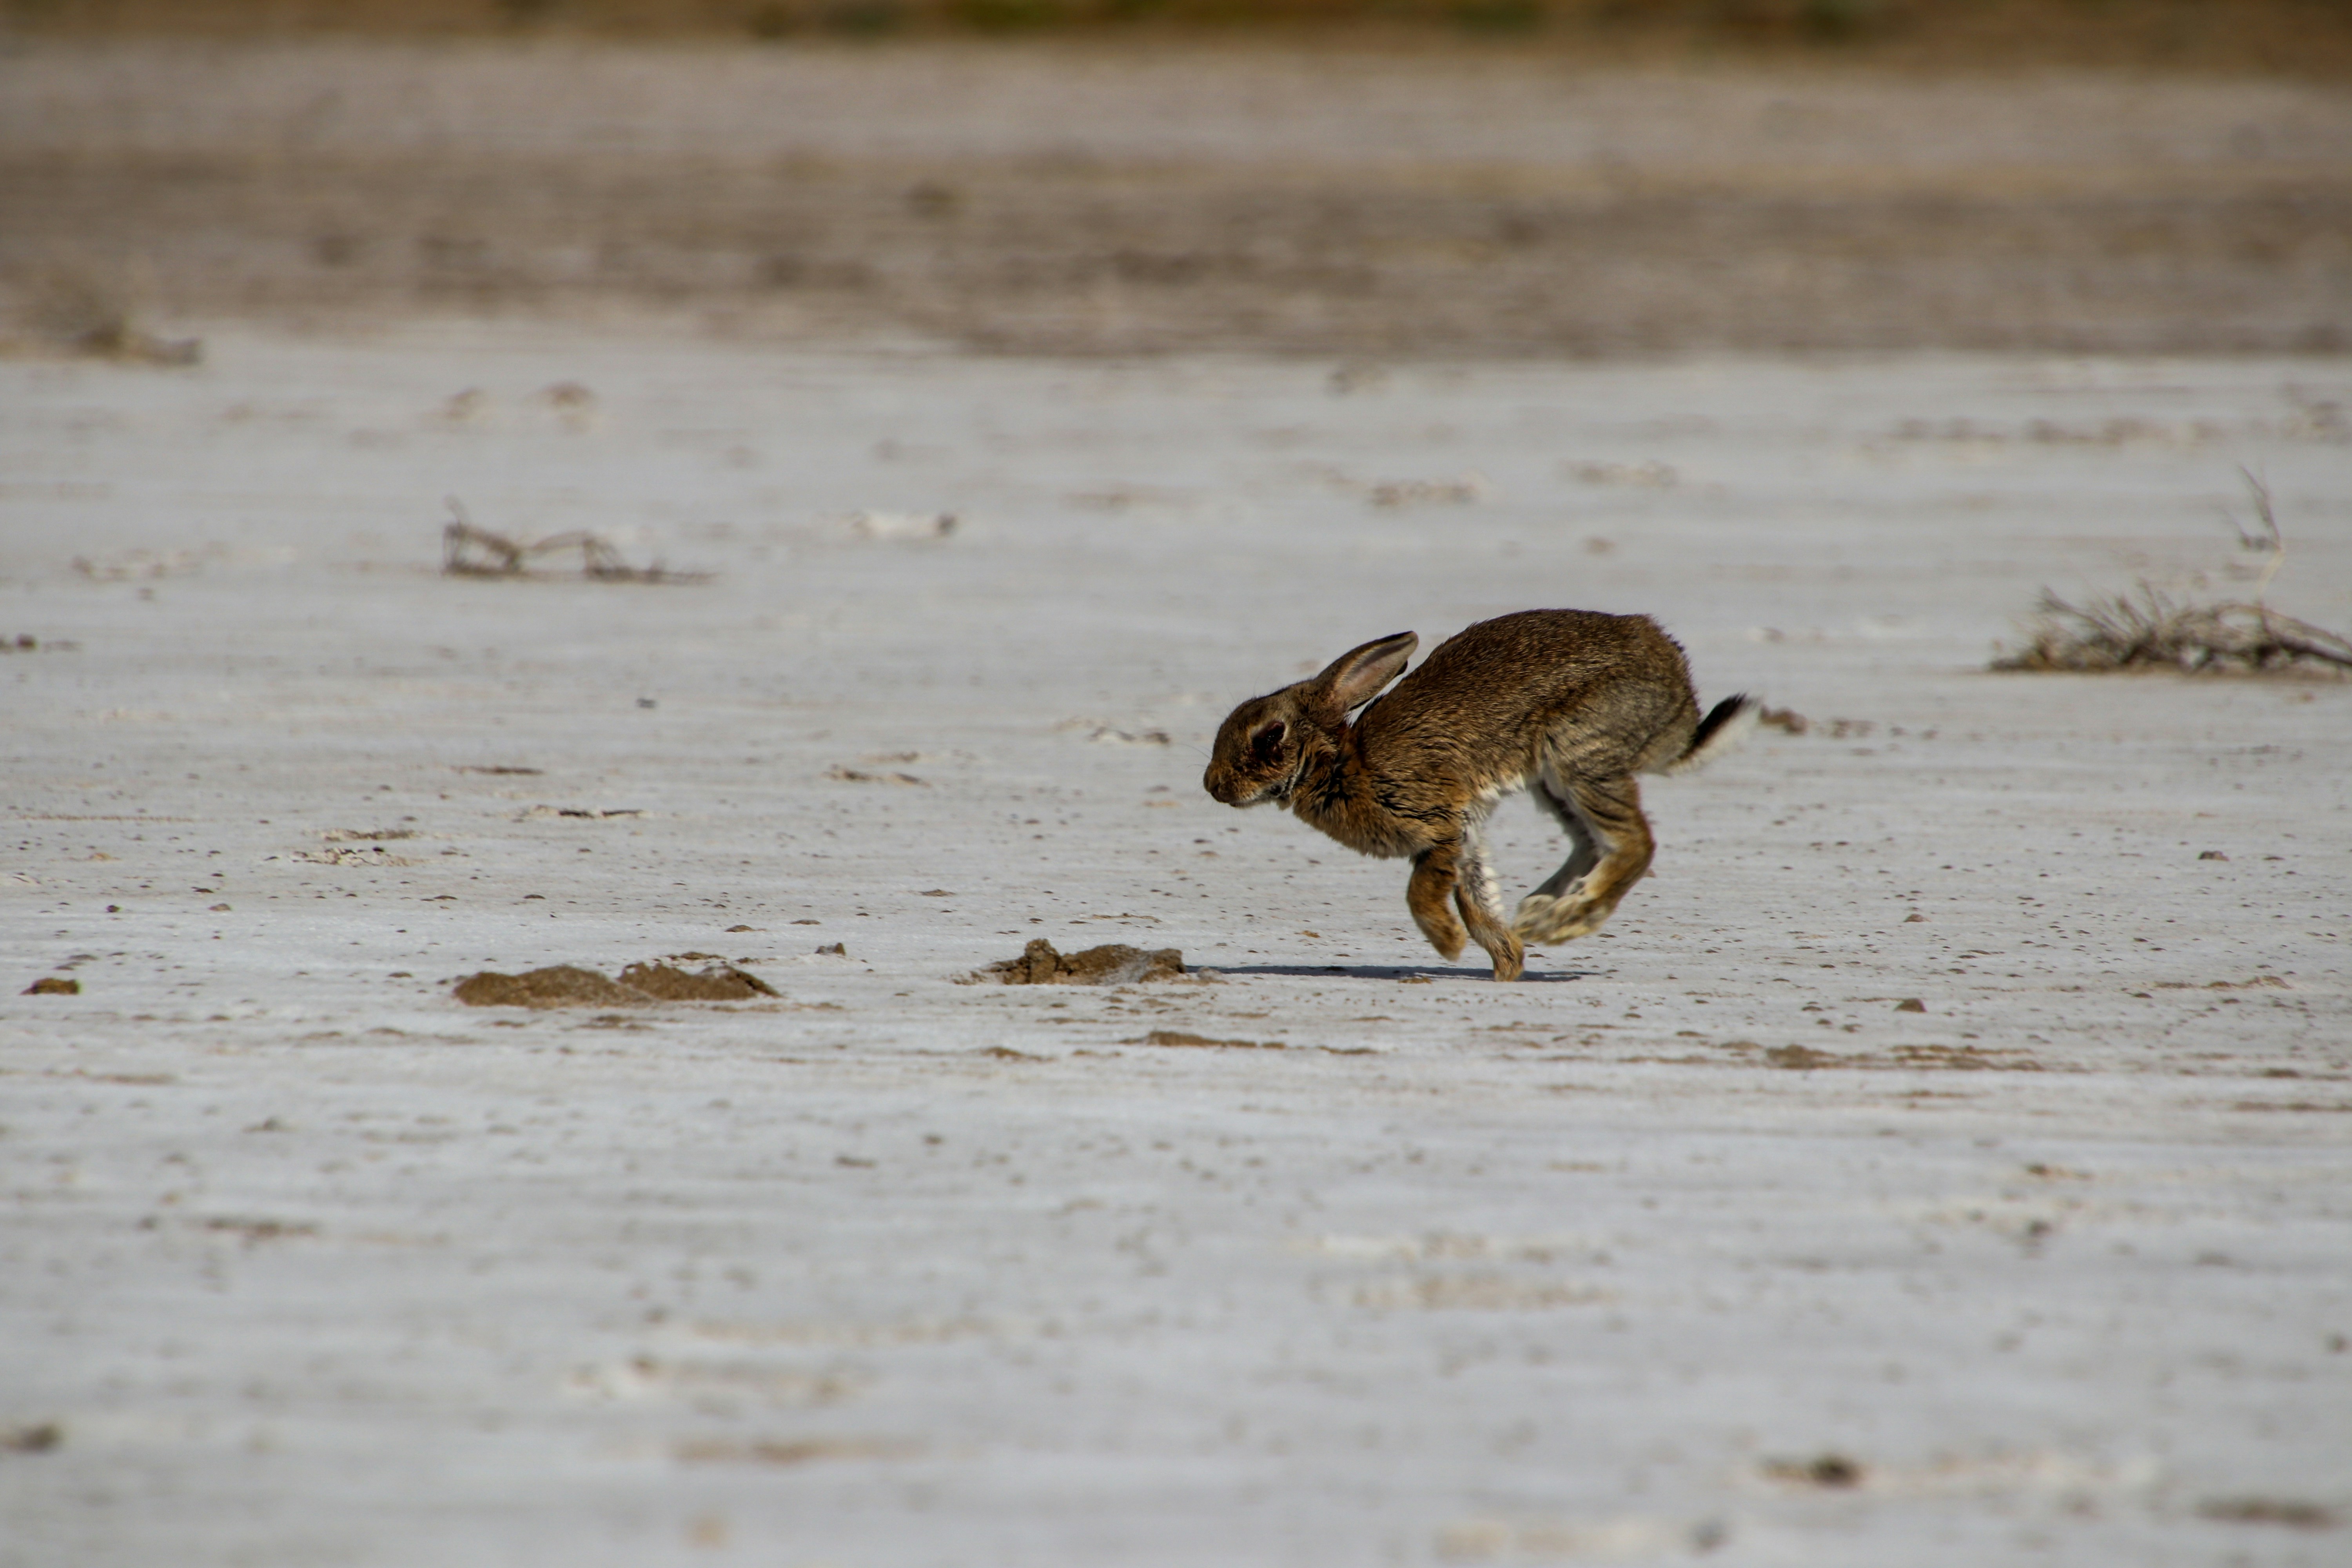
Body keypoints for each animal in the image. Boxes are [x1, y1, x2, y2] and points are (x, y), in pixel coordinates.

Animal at [1203, 609, 1751, 981]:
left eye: (1270, 735)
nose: (1213, 786)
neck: (1342, 763)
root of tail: (1681, 704)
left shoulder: (1438, 822)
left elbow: (1423, 894)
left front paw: (1448, 946)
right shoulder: (1463, 836)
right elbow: (1476, 903)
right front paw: (1507, 967)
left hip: (1580, 750)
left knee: (1635, 844)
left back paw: (1562, 921)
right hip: (1555, 779)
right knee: (1592, 843)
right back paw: (1538, 913)